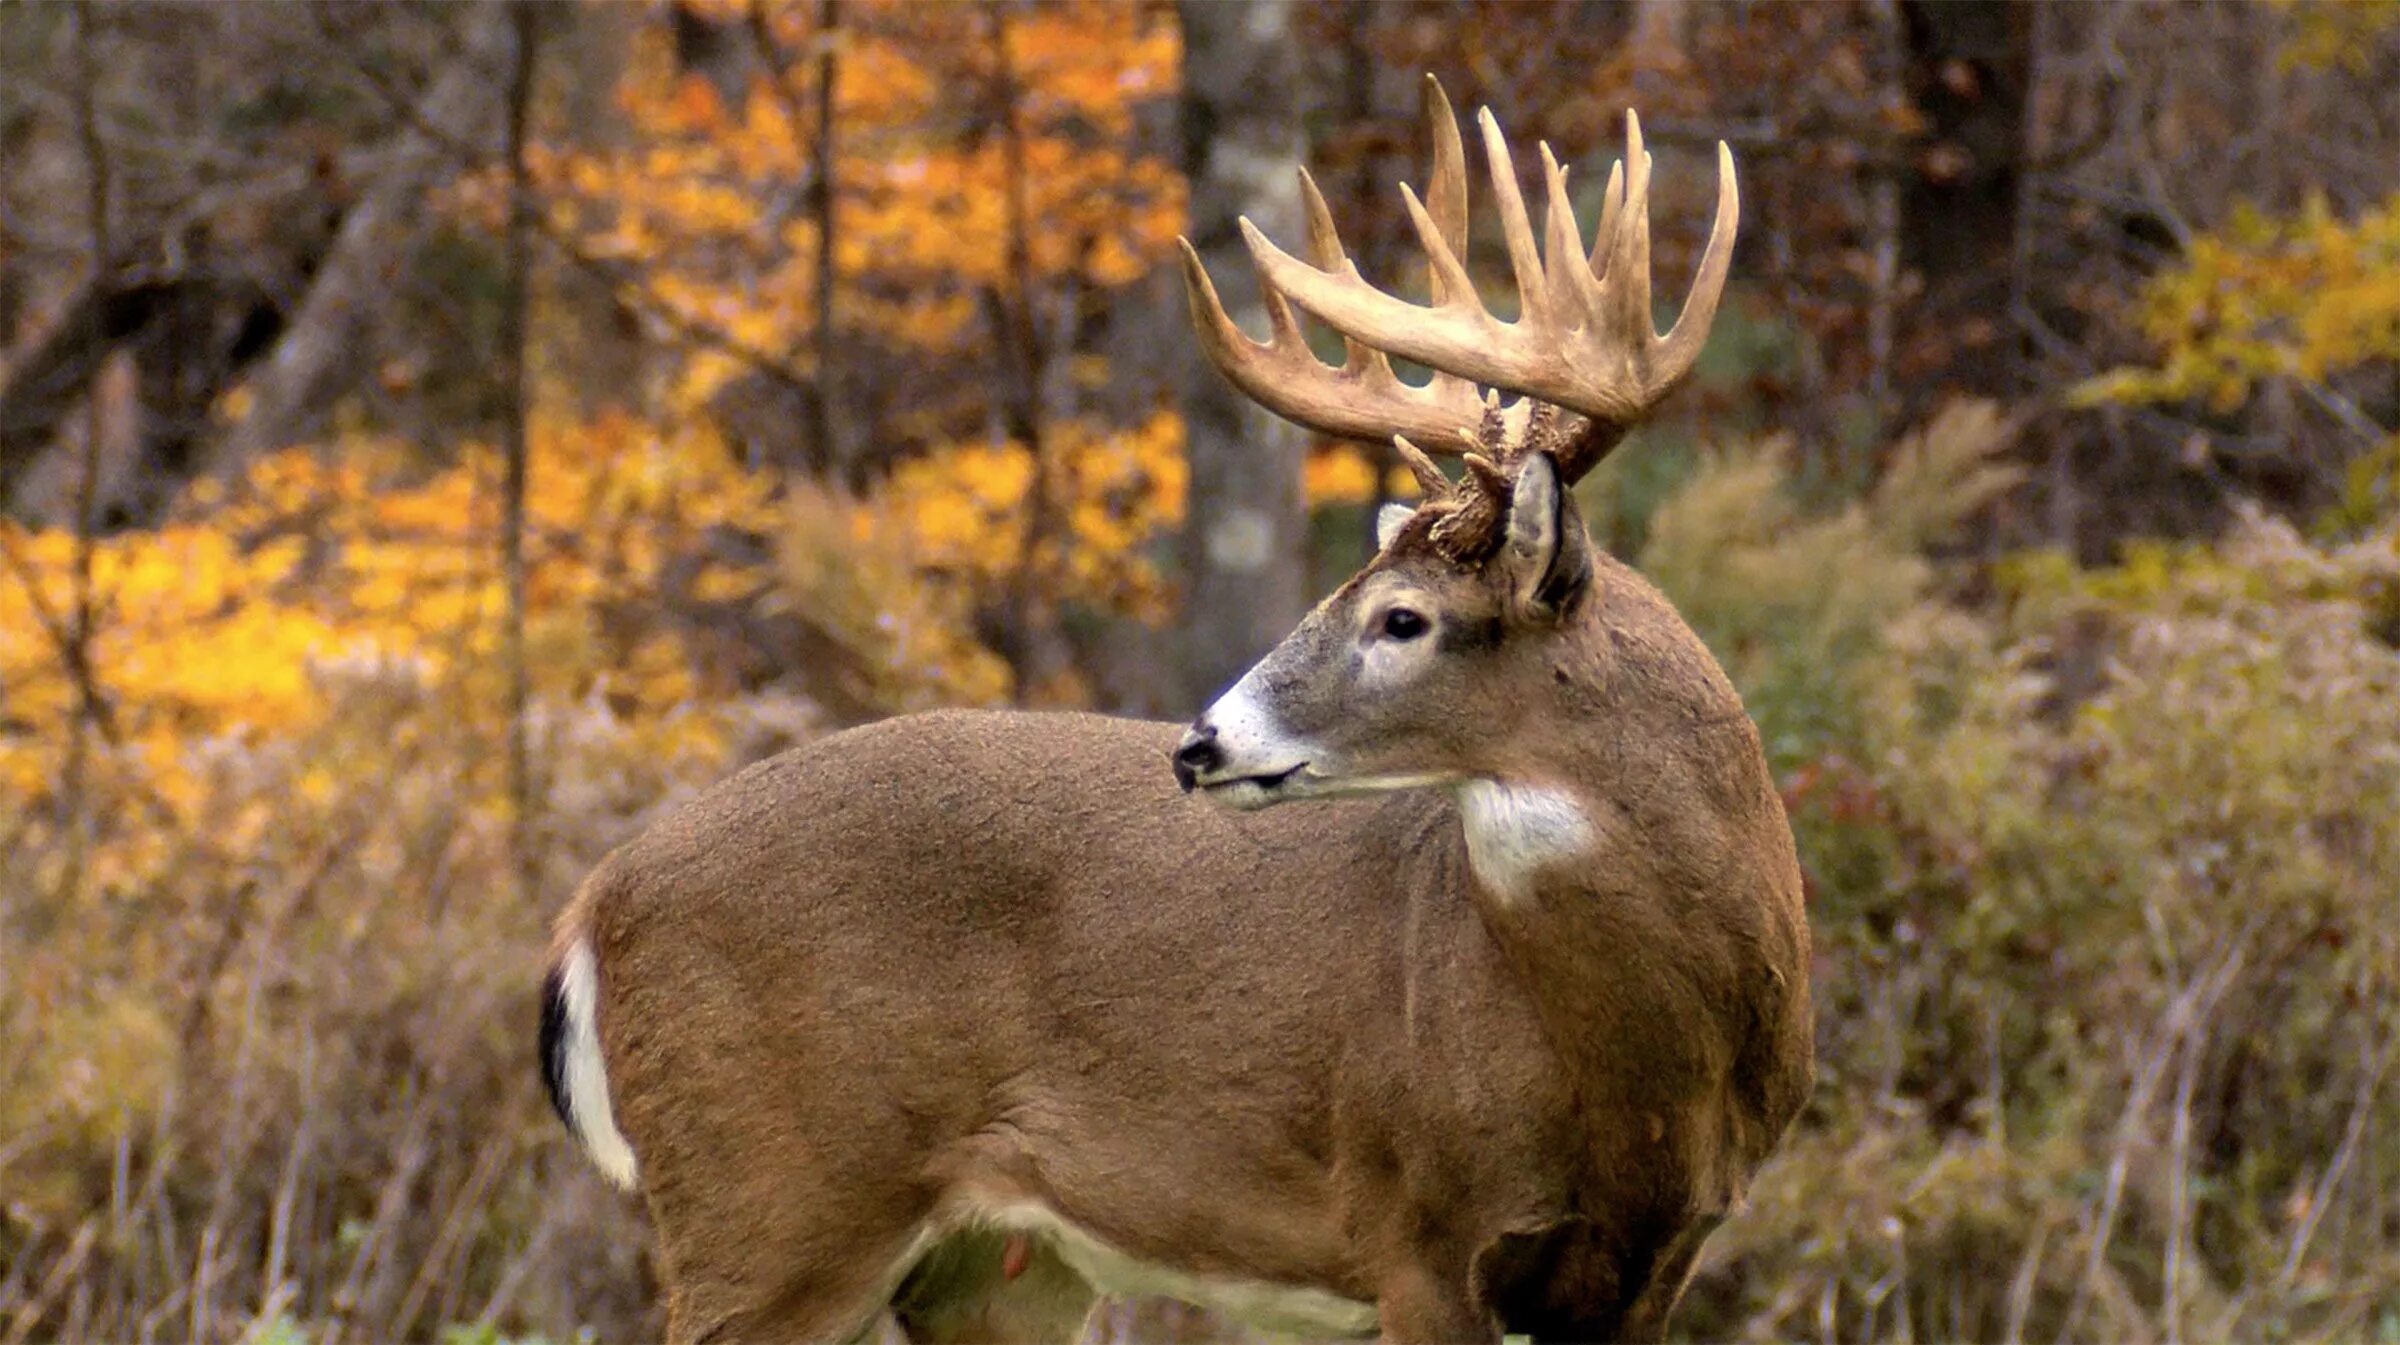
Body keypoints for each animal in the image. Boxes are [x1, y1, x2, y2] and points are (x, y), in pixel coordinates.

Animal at [544, 78, 1804, 1335]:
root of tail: (593, 909)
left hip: (993, 1263)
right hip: (770, 1205)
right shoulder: (1419, 1227)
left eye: (1402, 618)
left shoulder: (1664, 1253)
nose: (1201, 743)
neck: (1647, 1082)